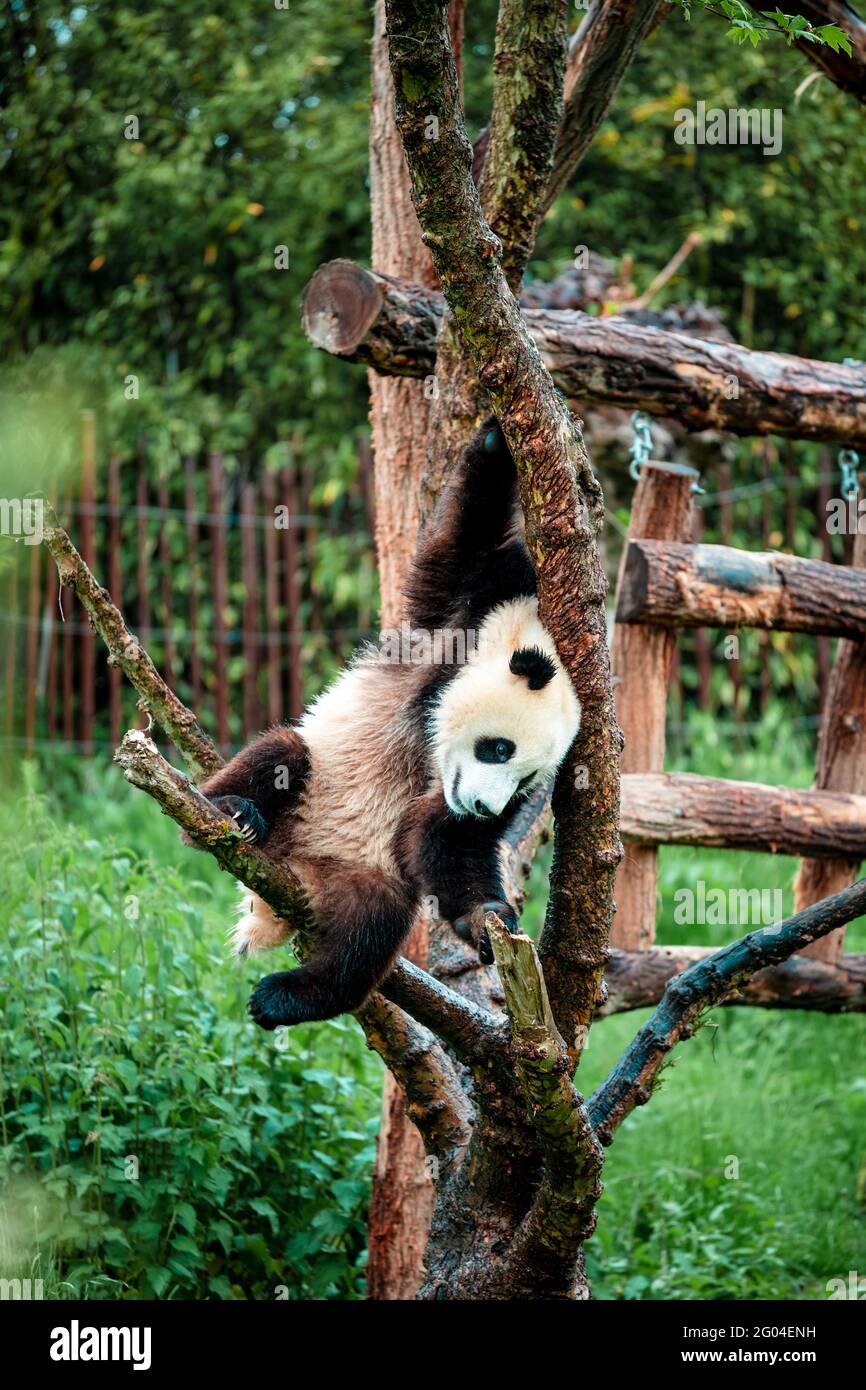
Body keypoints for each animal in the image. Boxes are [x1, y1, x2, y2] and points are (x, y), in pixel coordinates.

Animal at [197, 418, 581, 1029]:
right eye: (499, 748)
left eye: (525, 780)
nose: (482, 805)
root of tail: (297, 881)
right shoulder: (464, 608)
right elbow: (463, 541)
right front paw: (497, 439)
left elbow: (451, 843)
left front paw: (489, 918)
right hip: (307, 799)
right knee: (283, 753)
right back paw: (230, 810)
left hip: (369, 877)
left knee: (370, 934)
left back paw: (286, 996)